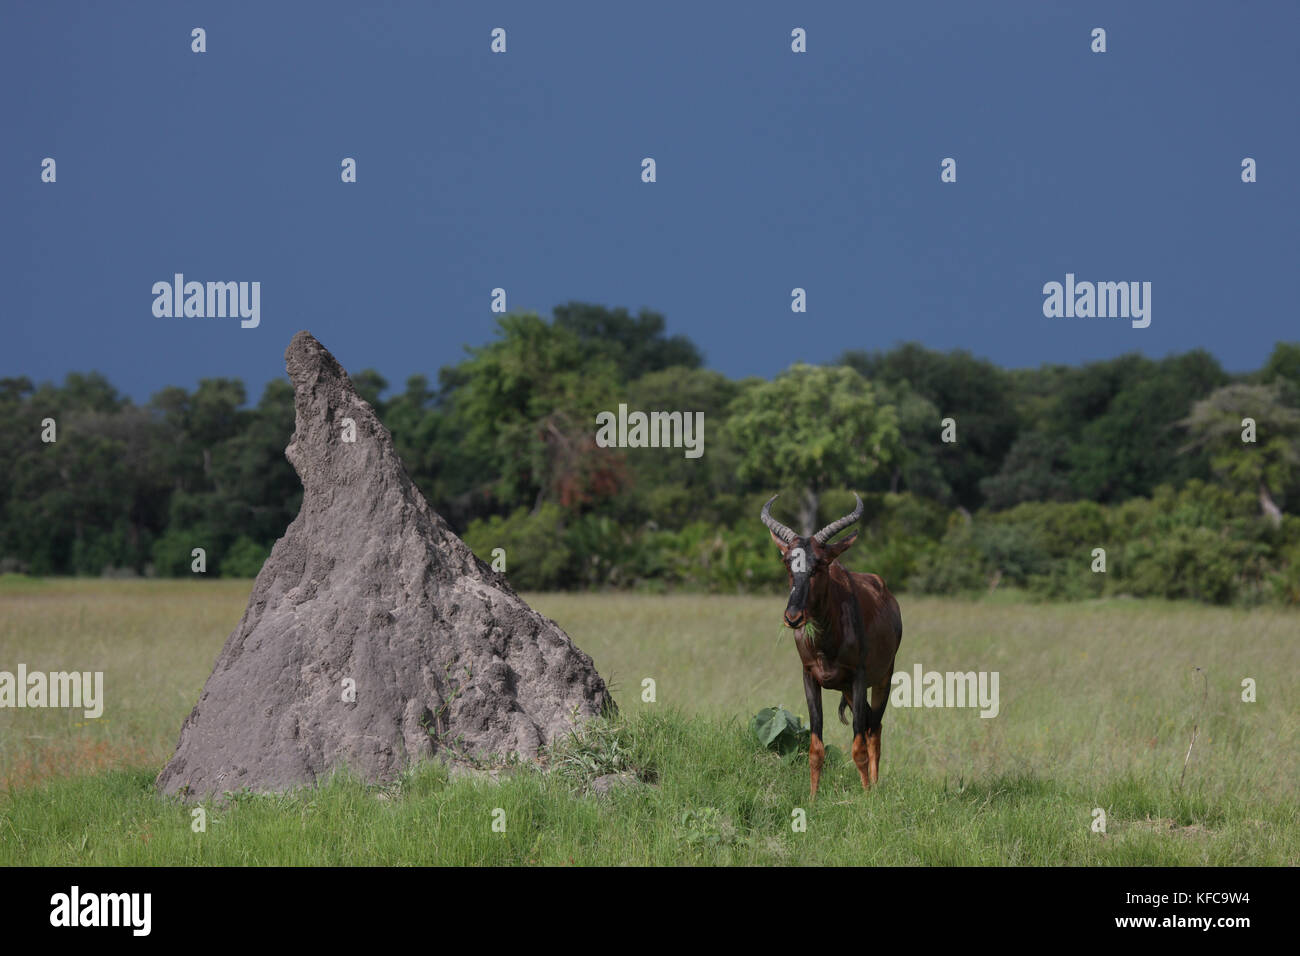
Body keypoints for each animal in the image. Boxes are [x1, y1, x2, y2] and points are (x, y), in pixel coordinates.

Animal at [761, 493, 902, 798]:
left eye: (819, 564)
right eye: (788, 562)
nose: (793, 617)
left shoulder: (859, 678)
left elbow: (858, 746)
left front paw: (866, 797)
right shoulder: (810, 678)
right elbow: (815, 748)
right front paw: (813, 799)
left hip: (882, 679)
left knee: (874, 728)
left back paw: (874, 787)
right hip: (847, 690)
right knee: (870, 723)